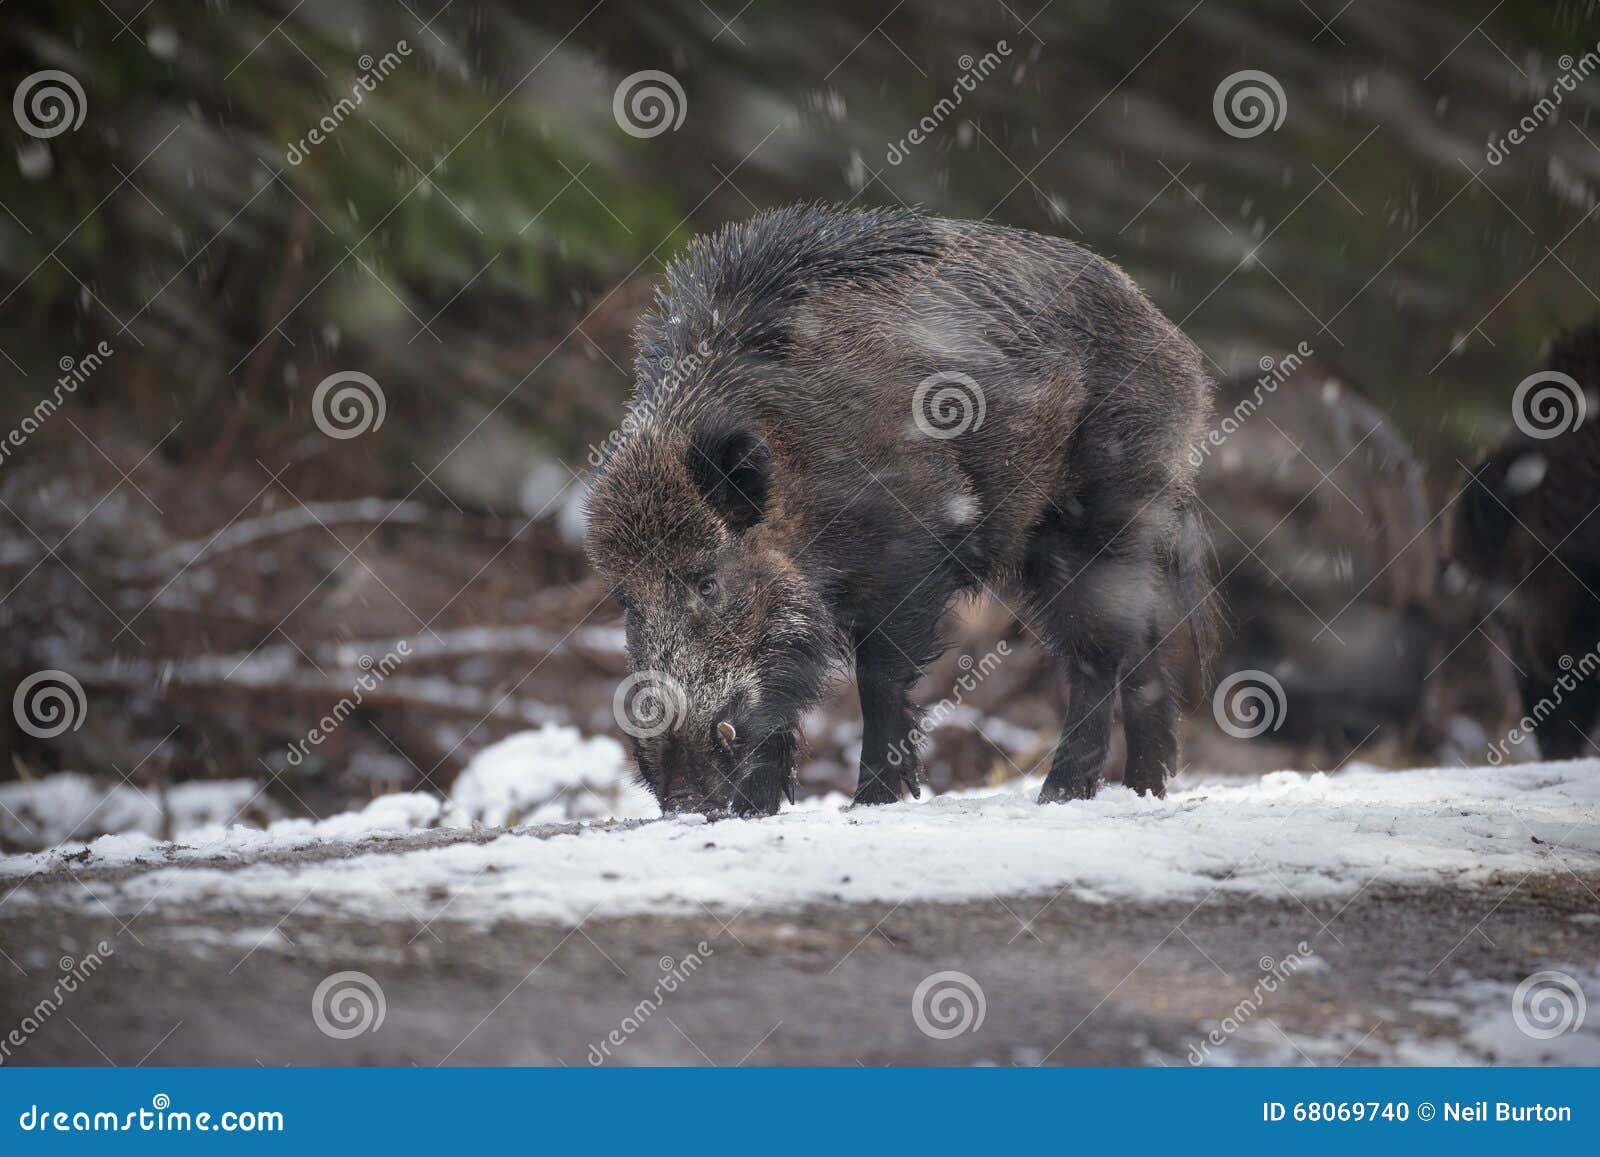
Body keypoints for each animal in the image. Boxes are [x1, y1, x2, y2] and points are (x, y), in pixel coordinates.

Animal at [584, 205, 1218, 815]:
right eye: (623, 598)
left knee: (1097, 651)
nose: (682, 799)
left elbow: (879, 680)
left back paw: (1061, 793)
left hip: (1099, 512)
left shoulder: (910, 555)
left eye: (708, 582)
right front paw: (755, 810)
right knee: (1139, 643)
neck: (794, 470)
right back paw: (1143, 789)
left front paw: (871, 800)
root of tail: (1172, 339)